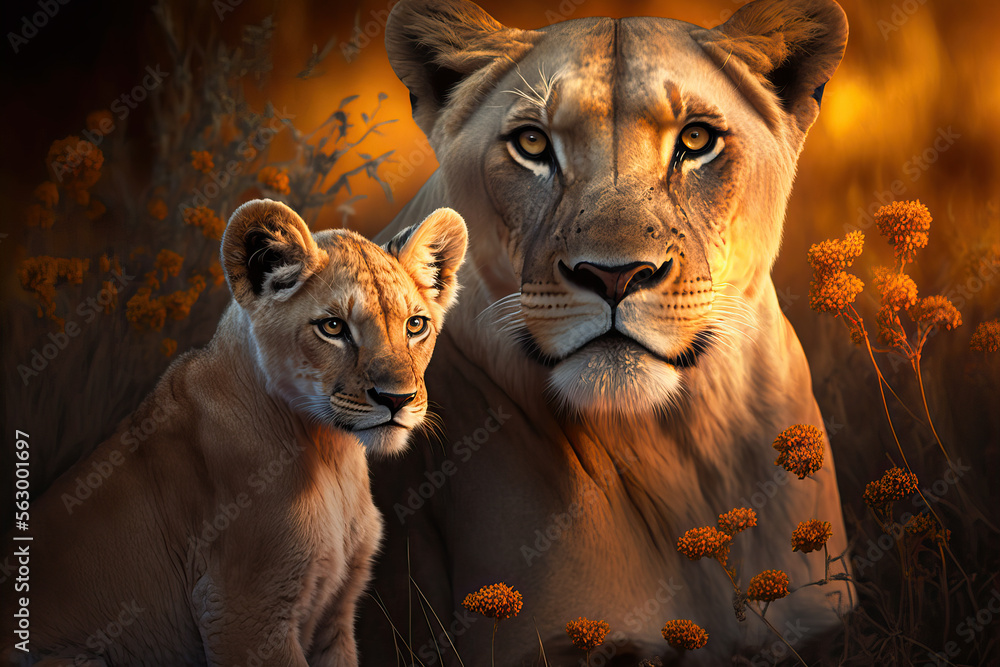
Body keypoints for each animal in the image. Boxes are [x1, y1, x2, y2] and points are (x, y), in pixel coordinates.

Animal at [2, 199, 467, 666]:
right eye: (333, 327)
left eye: (415, 326)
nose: (397, 399)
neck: (330, 453)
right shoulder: (242, 612)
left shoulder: (335, 616)